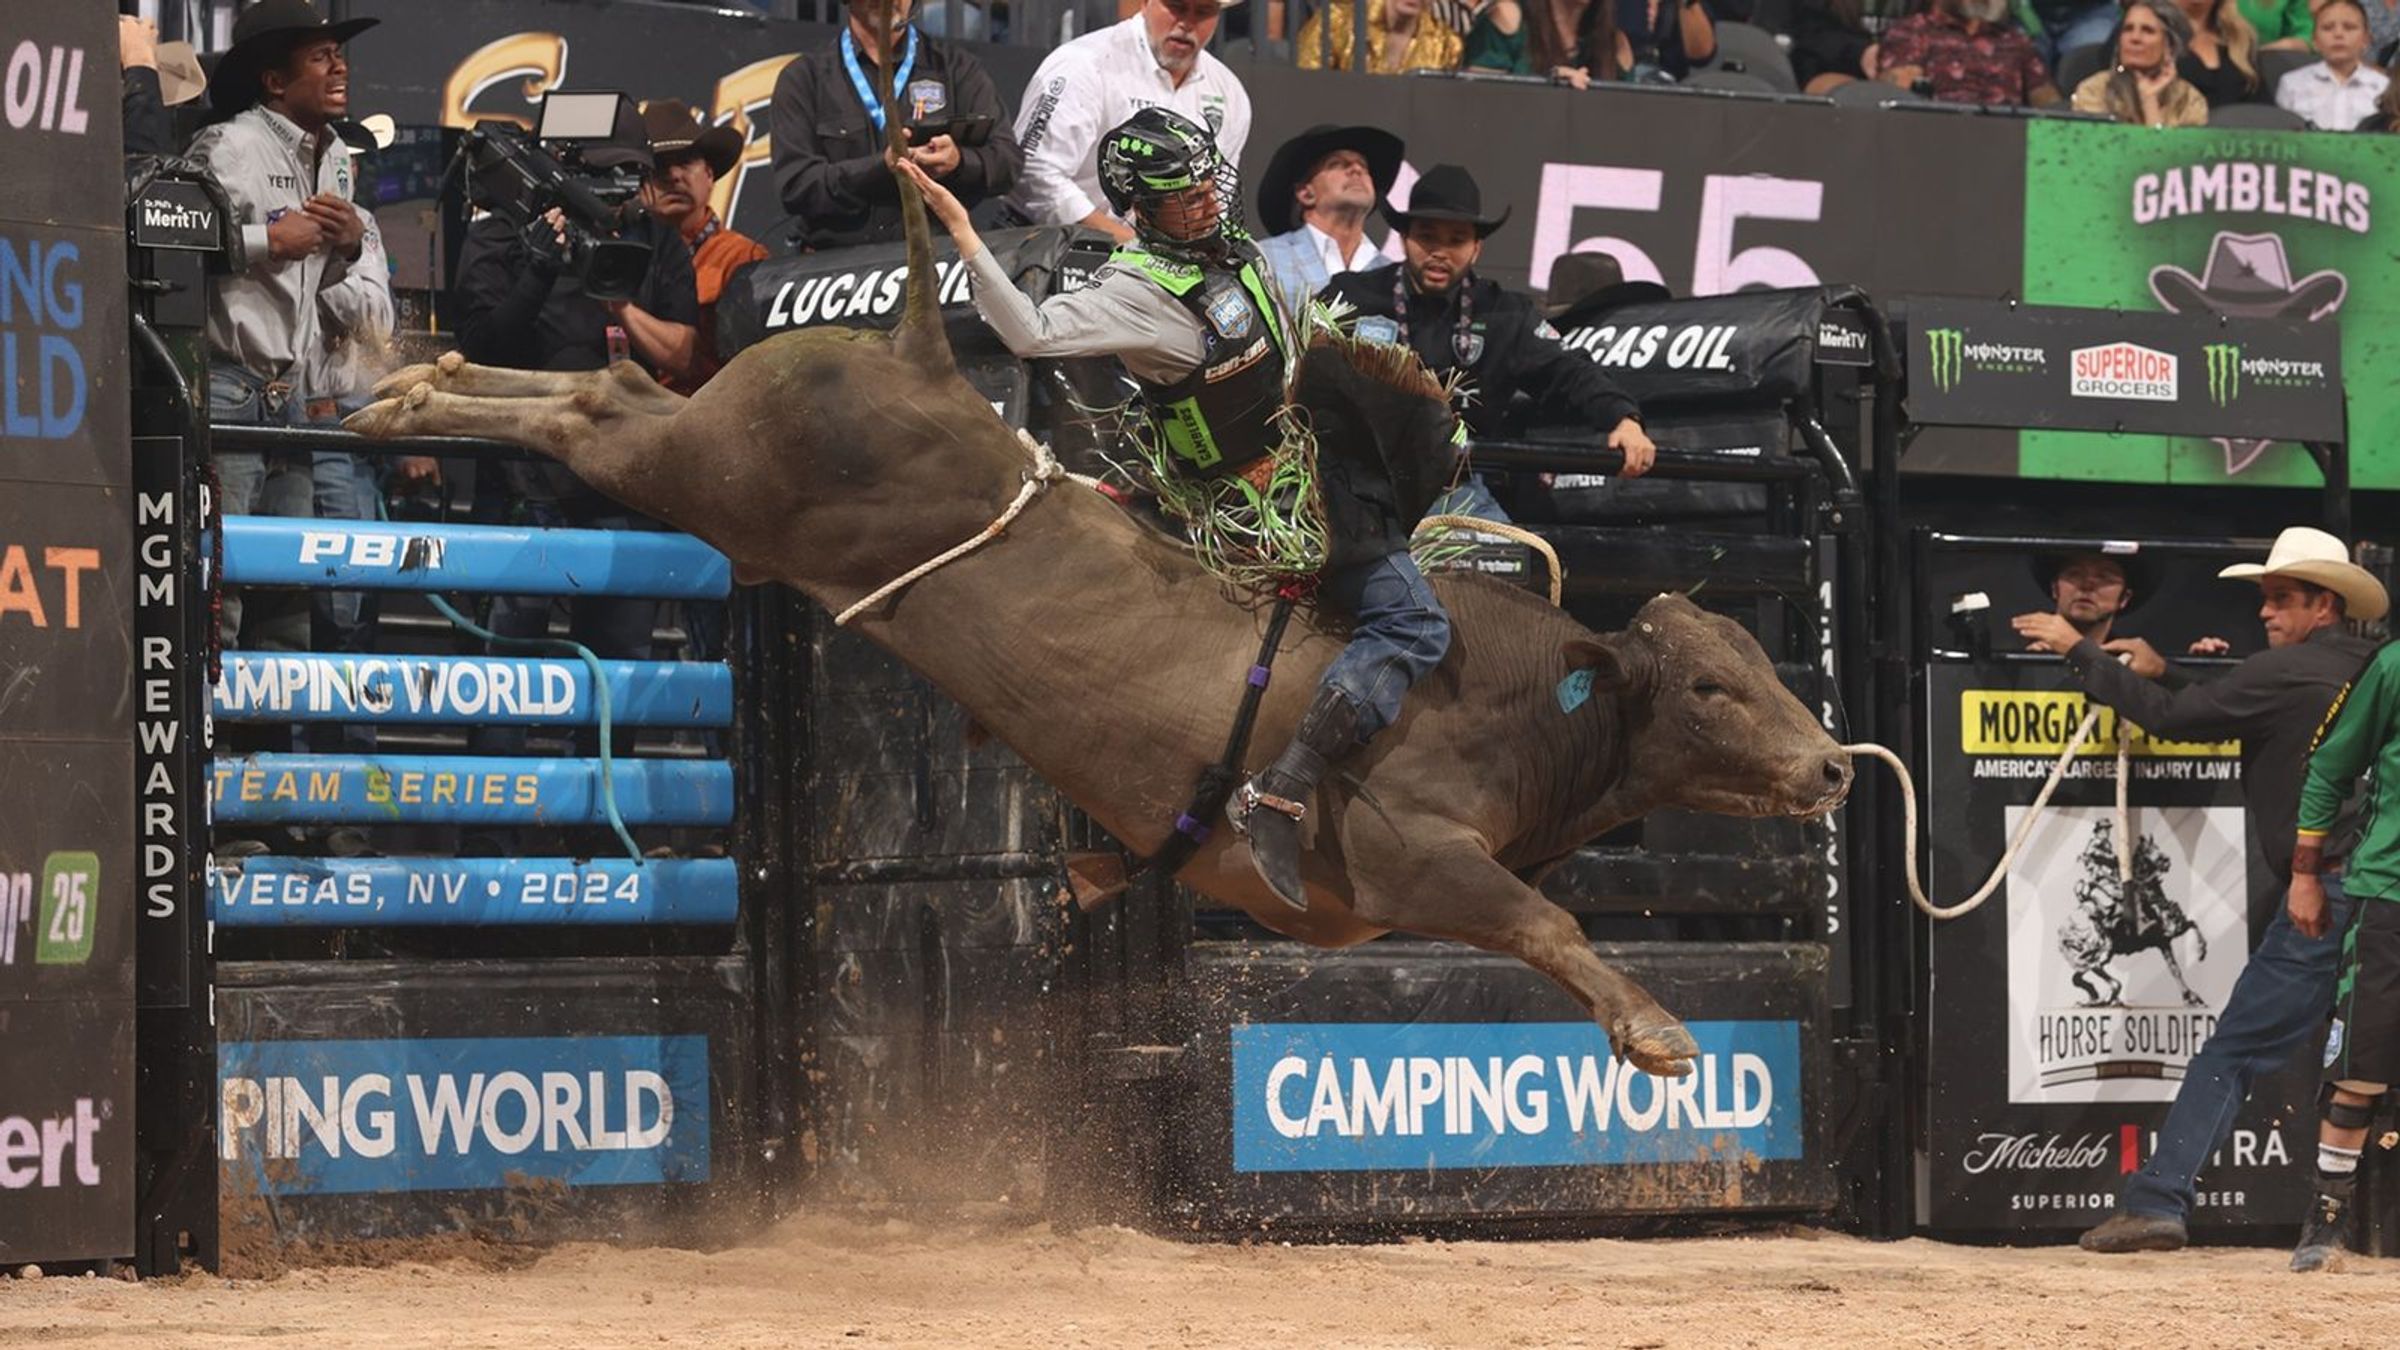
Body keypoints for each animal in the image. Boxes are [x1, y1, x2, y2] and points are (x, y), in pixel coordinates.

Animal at [345, 155, 1852, 1079]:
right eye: (1708, 690)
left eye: (1761, 668)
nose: (1835, 764)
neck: (1519, 697)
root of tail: (918, 356)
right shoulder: (1414, 861)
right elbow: (1546, 926)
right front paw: (1658, 1037)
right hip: (717, 479)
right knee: (596, 422)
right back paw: (409, 392)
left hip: (708, 451)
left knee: (603, 395)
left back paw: (411, 383)